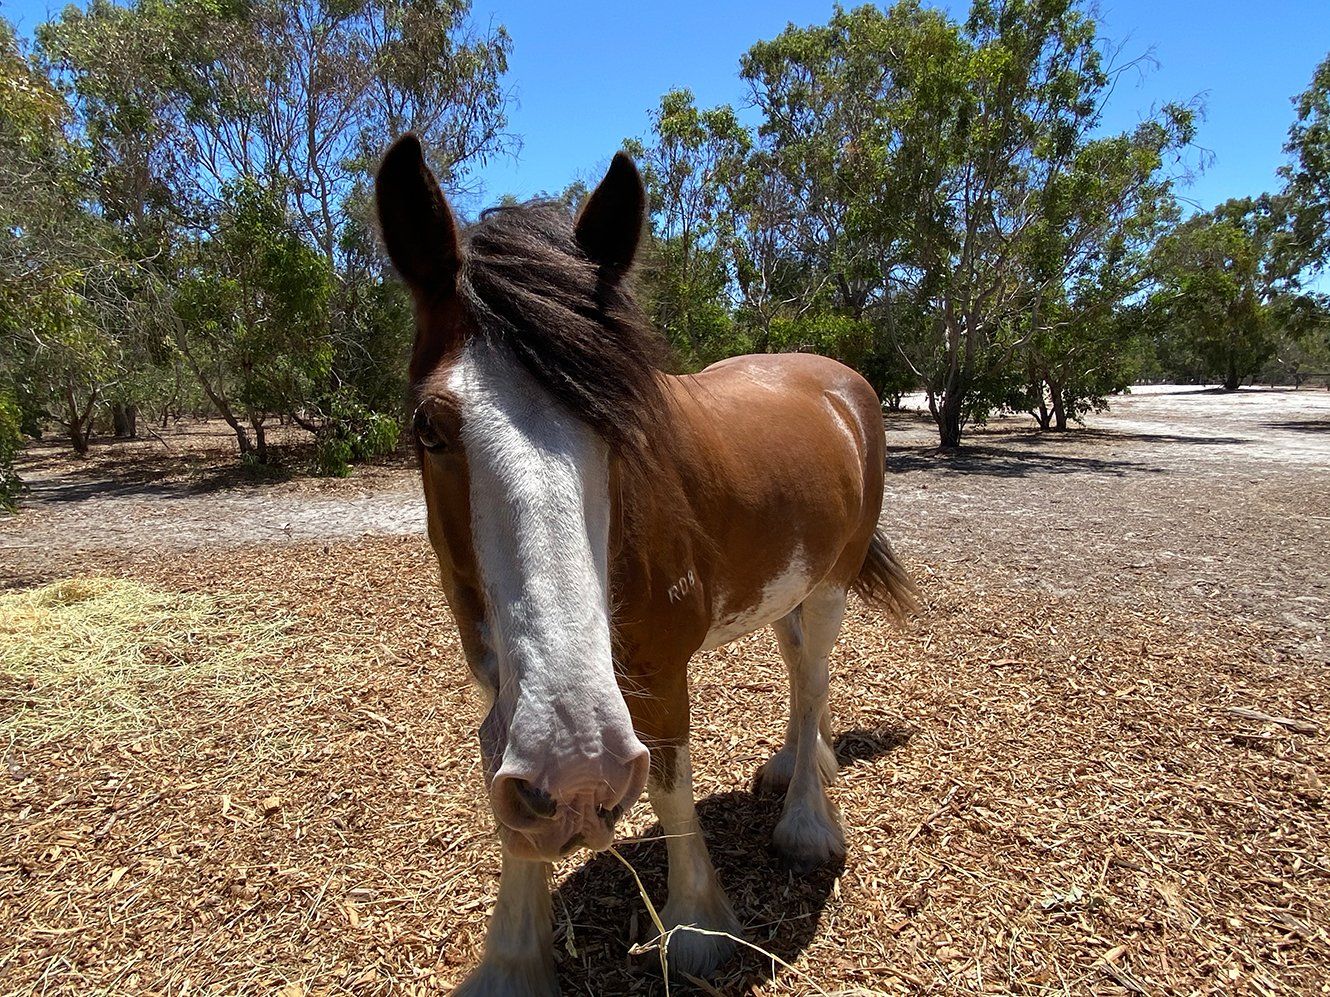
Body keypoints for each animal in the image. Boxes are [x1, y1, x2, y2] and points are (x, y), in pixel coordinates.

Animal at [375, 135, 916, 995]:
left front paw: (698, 926)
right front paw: (512, 959)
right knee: (801, 670)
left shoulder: (659, 674)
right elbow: (508, 802)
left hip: (831, 581)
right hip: (782, 588)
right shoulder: (502, 678)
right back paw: (798, 763)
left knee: (814, 674)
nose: (578, 768)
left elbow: (670, 790)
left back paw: (807, 818)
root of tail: (839, 378)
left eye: (616, 423)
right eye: (429, 428)